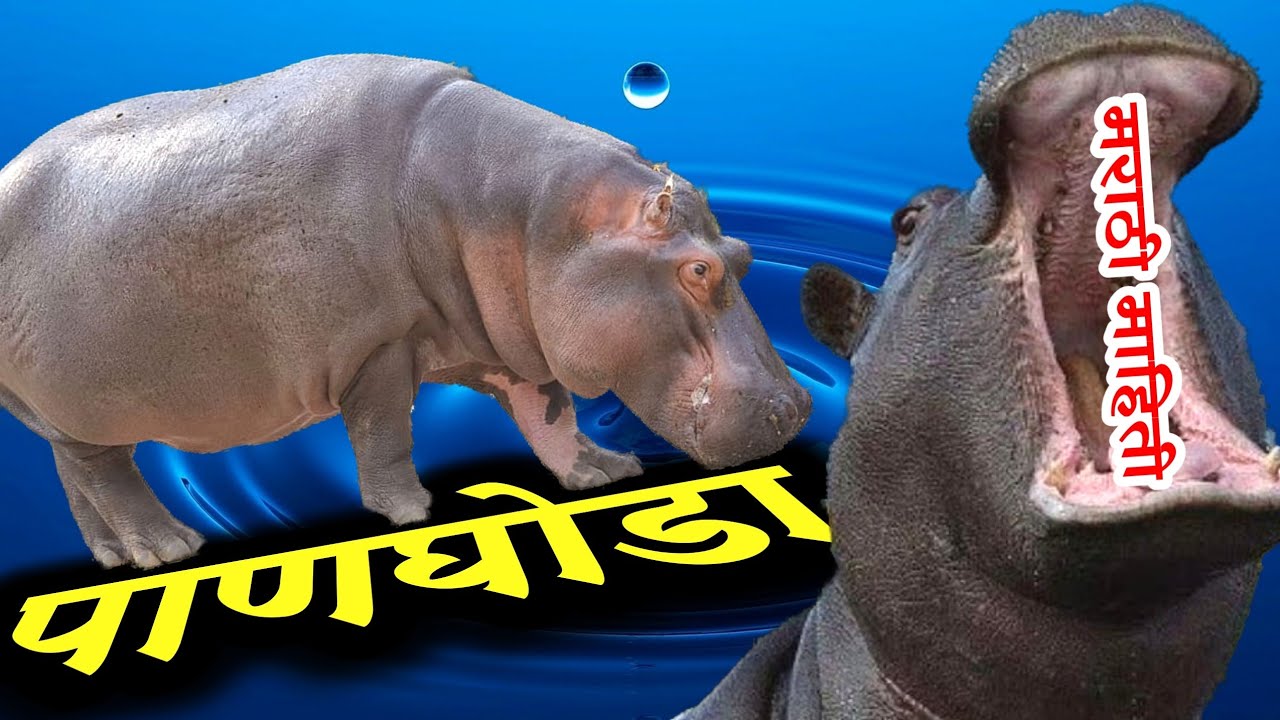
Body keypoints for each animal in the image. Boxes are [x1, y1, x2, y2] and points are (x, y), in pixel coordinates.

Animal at [0, 55, 810, 570]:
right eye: (698, 269)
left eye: (741, 252)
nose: (797, 407)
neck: (531, 215)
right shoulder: (377, 346)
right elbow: (386, 433)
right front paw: (414, 513)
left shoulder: (512, 342)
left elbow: (549, 414)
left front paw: (603, 471)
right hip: (81, 403)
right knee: (107, 476)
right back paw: (171, 547)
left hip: (59, 413)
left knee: (78, 479)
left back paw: (115, 555)